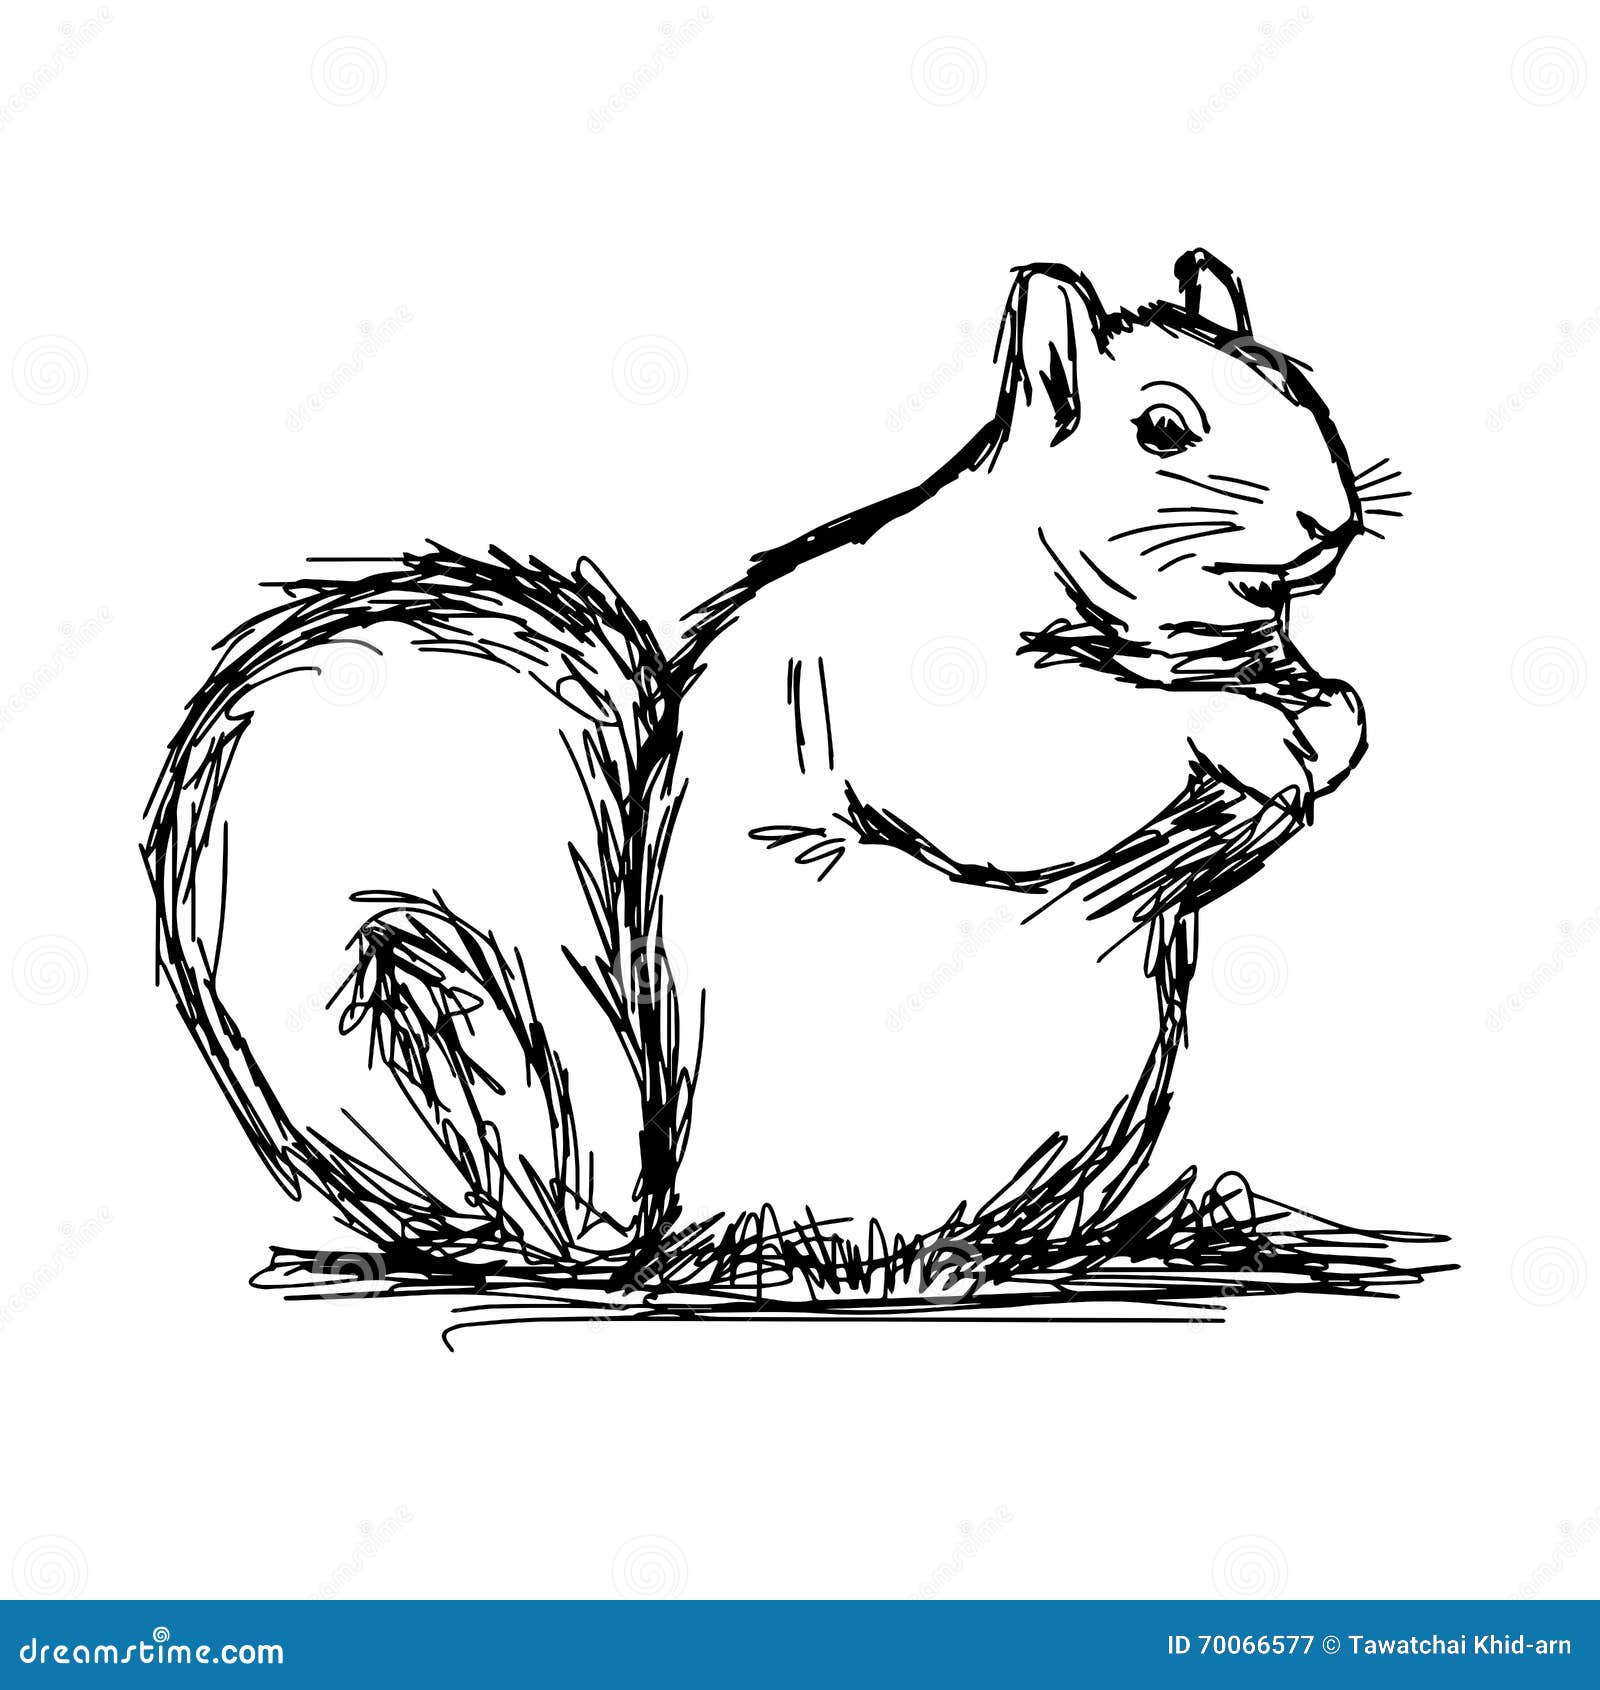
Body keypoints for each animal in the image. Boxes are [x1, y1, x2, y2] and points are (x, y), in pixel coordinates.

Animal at [144, 251, 1375, 1297]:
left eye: (1300, 383)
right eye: (1162, 428)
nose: (1332, 521)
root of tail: (654, 1217)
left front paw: (1331, 716)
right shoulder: (925, 683)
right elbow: (1035, 770)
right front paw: (1250, 733)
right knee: (840, 1240)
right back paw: (852, 1259)